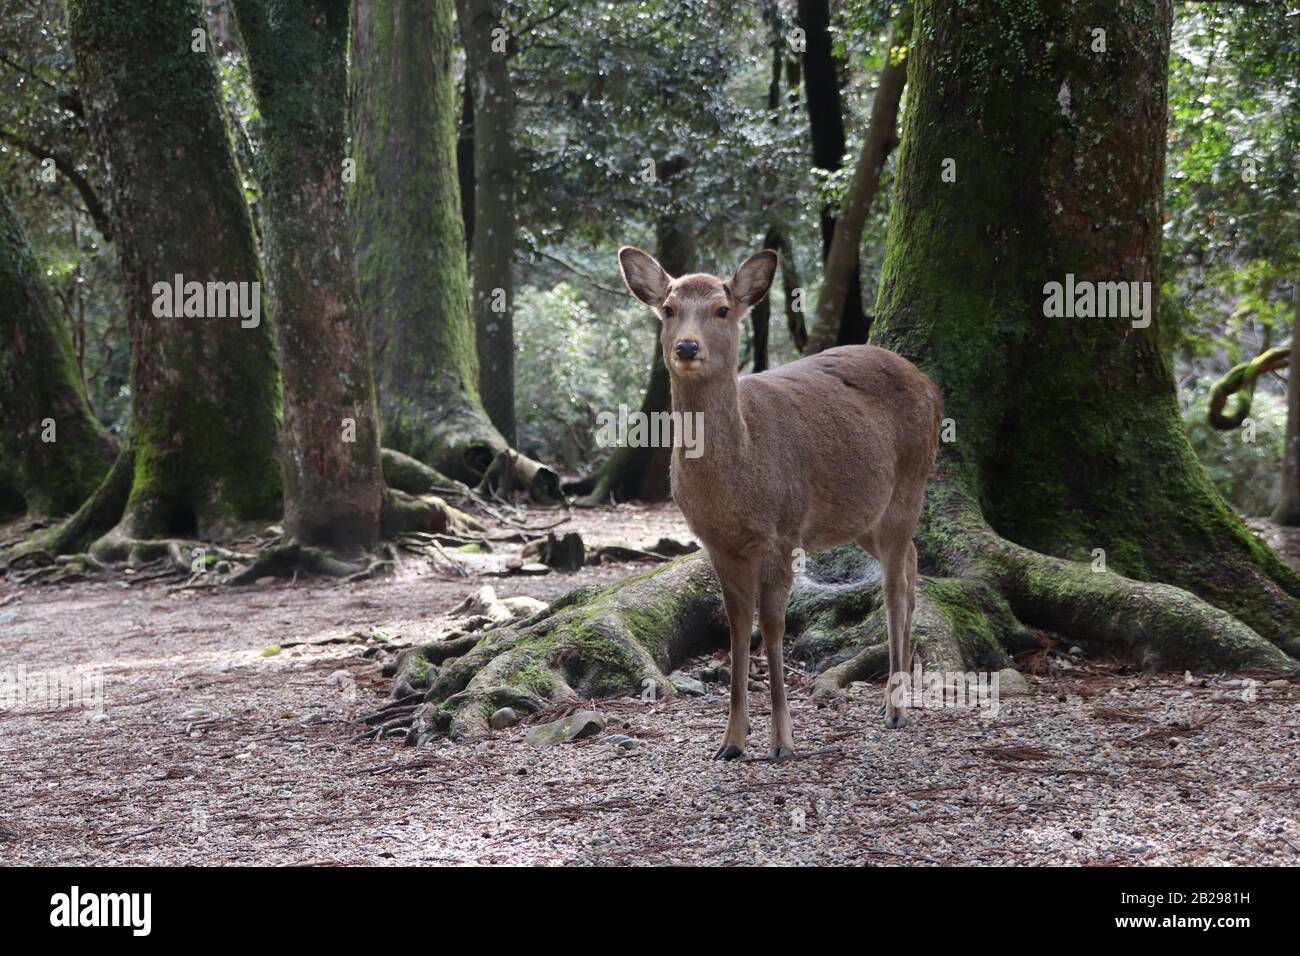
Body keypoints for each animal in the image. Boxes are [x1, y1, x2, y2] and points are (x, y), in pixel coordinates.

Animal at [617, 246, 942, 760]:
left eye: (722, 309)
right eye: (668, 309)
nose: (686, 348)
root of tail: (933, 387)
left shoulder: (782, 529)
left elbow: (771, 627)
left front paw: (783, 740)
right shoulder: (716, 541)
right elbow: (736, 628)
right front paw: (730, 741)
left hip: (910, 485)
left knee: (896, 586)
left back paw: (895, 710)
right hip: (863, 516)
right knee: (911, 562)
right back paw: (898, 695)